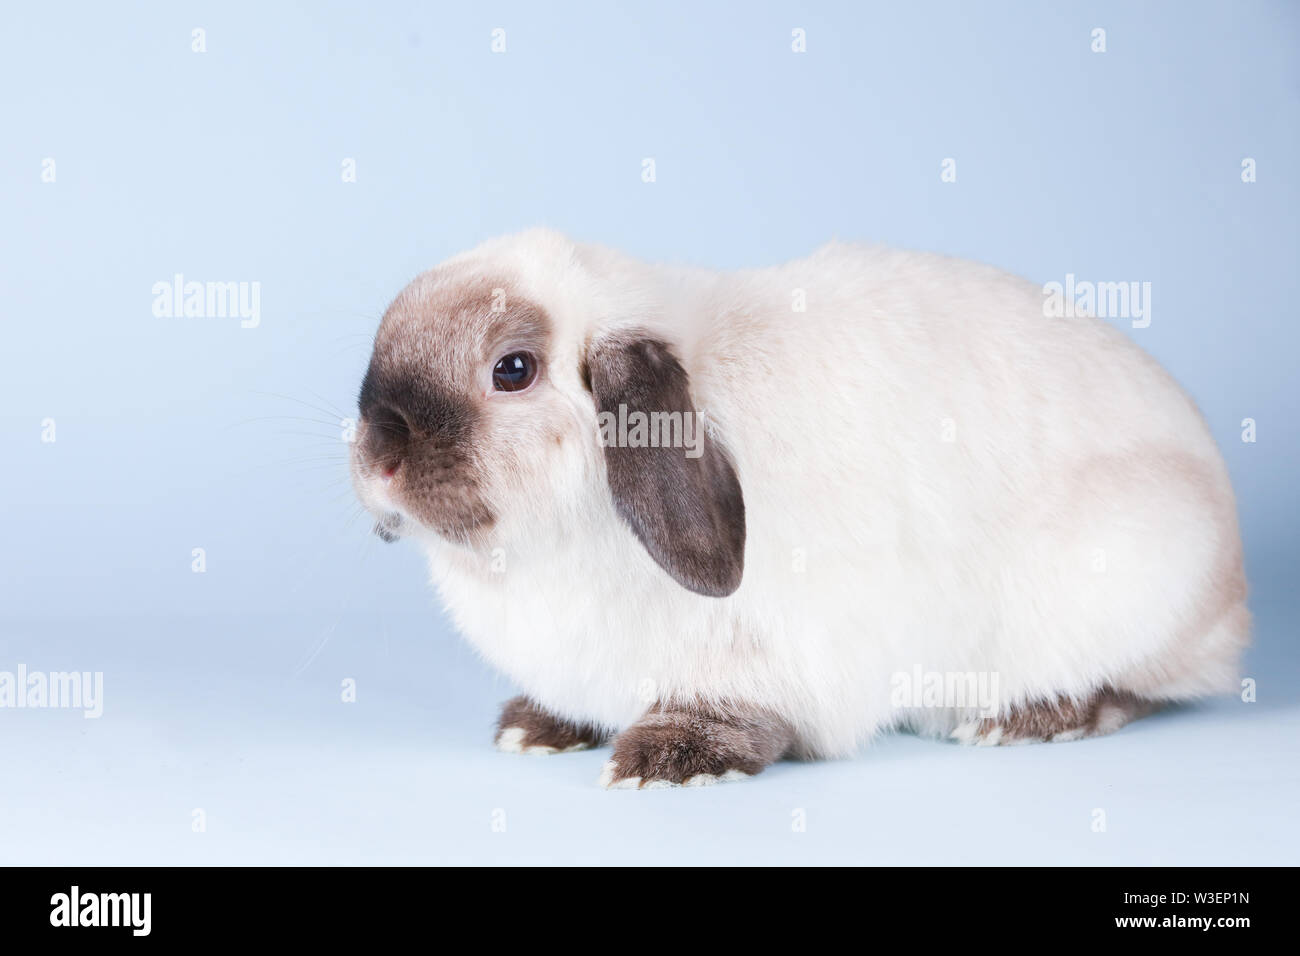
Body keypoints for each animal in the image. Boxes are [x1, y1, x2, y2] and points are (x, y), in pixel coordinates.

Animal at [350, 228, 1249, 788]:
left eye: (512, 369)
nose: (377, 452)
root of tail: (1232, 597)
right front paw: (534, 727)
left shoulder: (774, 657)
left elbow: (743, 714)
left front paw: (669, 759)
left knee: (1132, 691)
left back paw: (1027, 720)